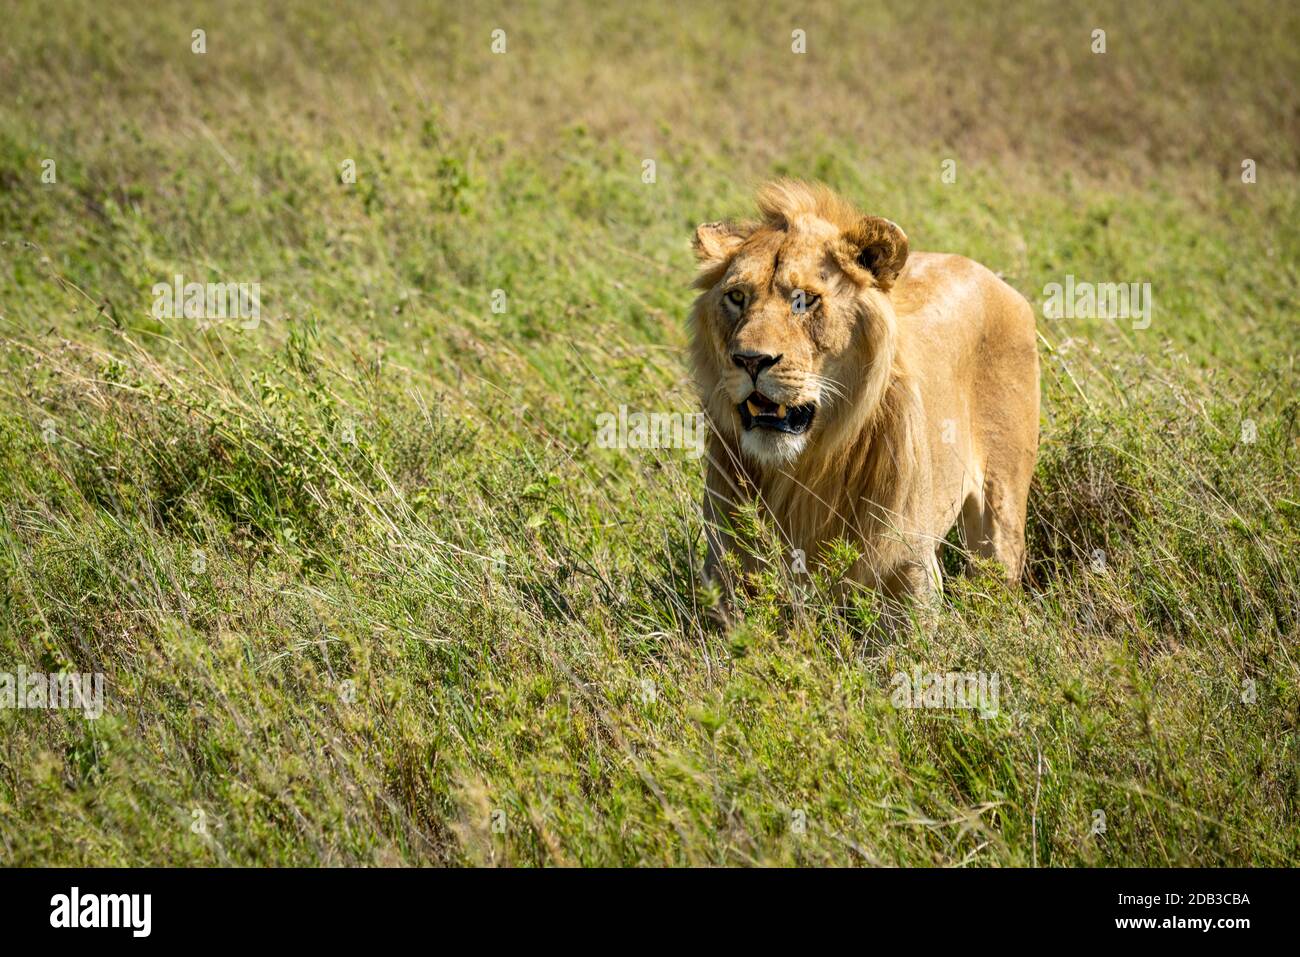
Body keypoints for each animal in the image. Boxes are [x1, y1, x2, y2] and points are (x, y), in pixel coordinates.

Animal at [690, 180, 1039, 603]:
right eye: (737, 297)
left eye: (804, 299)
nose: (750, 360)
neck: (802, 471)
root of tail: (988, 273)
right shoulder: (723, 568)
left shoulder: (907, 566)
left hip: (1000, 522)